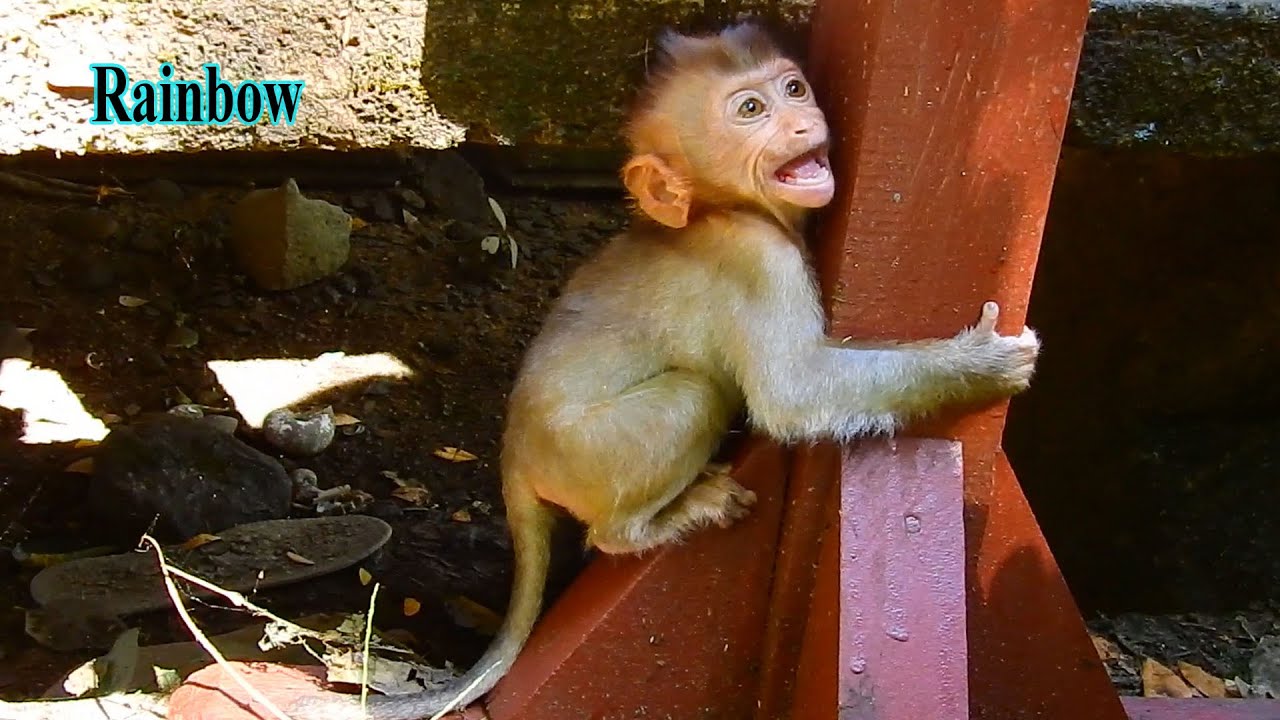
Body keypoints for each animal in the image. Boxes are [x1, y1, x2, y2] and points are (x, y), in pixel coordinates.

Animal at [288, 20, 1038, 720]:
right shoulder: (758, 255)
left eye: (794, 89)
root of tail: (514, 458)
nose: (802, 123)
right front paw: (980, 365)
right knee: (691, 401)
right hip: (591, 455)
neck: (720, 207)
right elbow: (793, 396)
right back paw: (645, 527)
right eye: (750, 110)